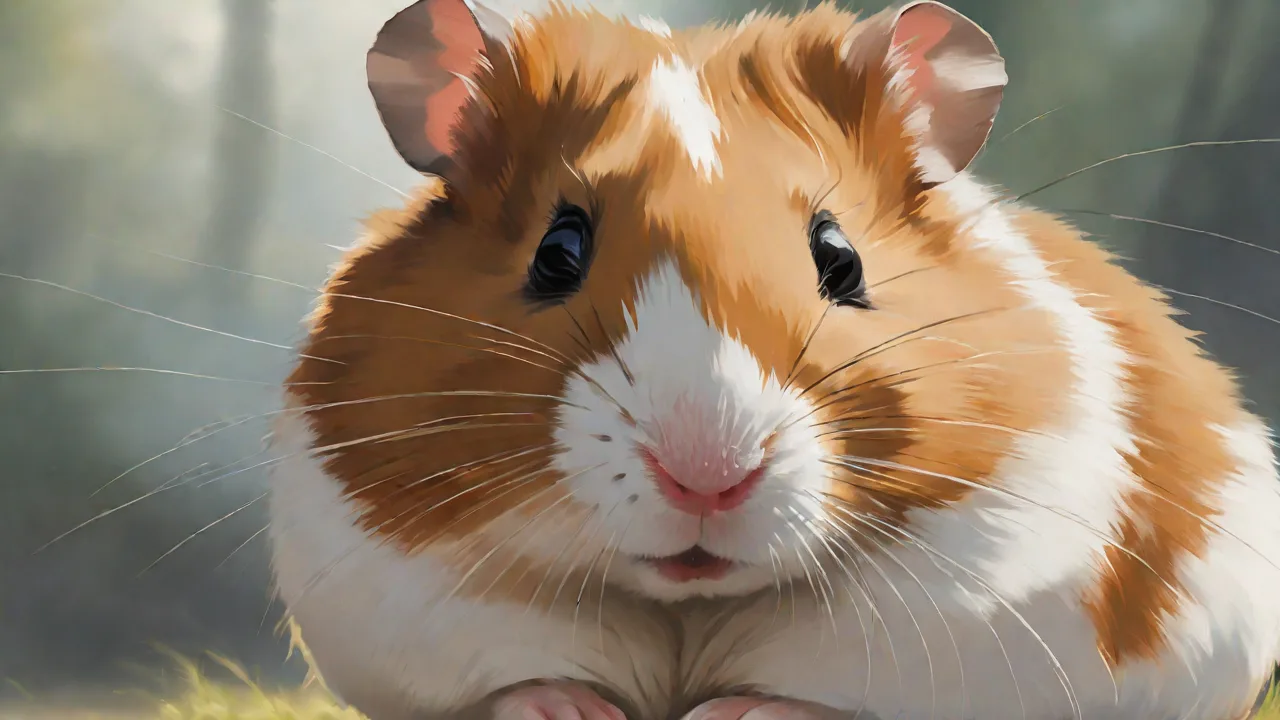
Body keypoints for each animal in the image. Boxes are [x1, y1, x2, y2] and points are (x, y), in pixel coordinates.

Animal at [265, 1, 1280, 718]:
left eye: (841, 260)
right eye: (558, 253)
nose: (705, 477)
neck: (686, 609)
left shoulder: (998, 595)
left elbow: (824, 695)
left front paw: (736, 712)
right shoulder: (388, 586)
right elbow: (512, 681)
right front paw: (569, 709)